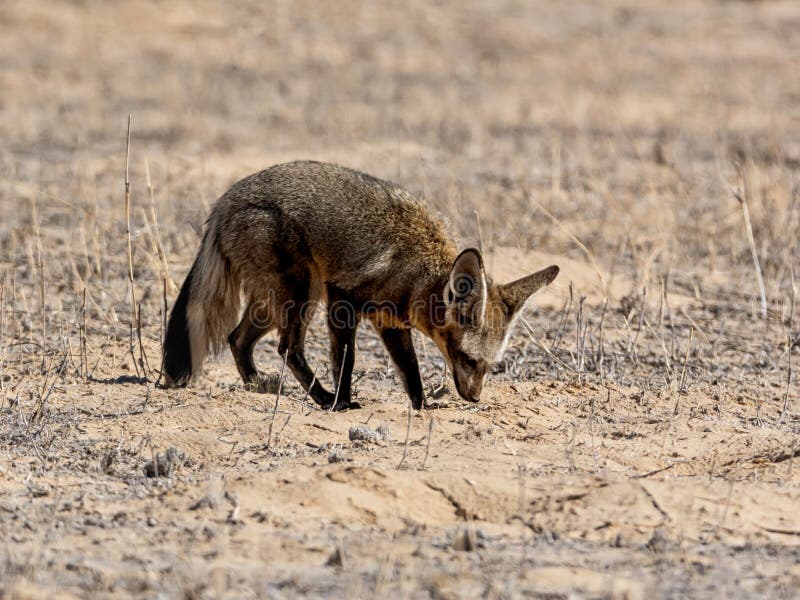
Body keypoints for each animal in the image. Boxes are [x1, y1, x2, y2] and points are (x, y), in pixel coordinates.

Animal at [162, 161, 559, 410]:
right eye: (467, 359)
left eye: (490, 366)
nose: (475, 398)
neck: (418, 269)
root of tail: (225, 201)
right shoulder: (343, 300)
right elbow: (346, 361)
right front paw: (342, 400)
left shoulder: (391, 323)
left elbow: (410, 372)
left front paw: (421, 407)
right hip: (302, 296)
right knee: (288, 348)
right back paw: (323, 399)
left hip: (274, 304)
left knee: (237, 338)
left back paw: (256, 386)